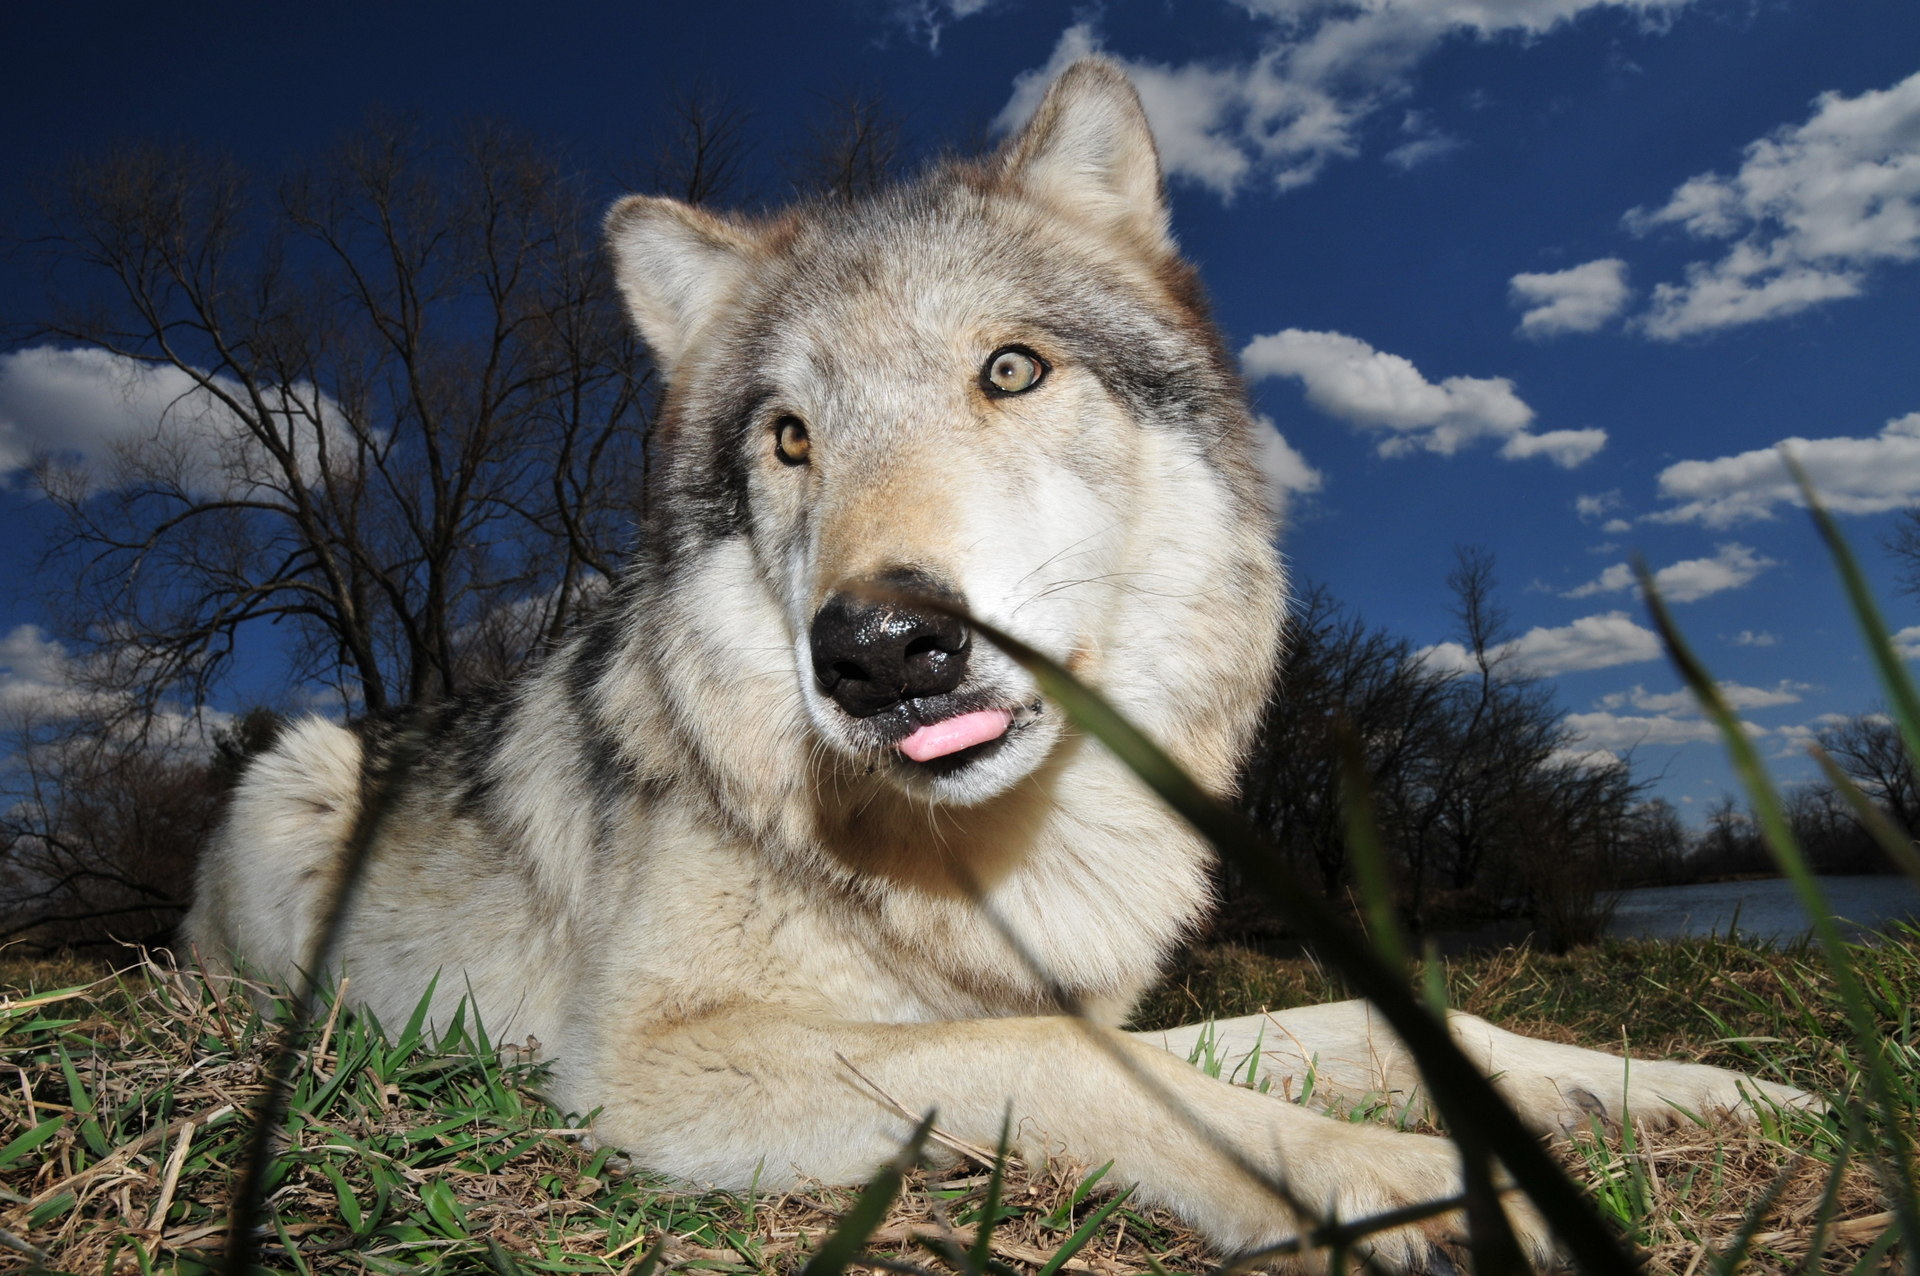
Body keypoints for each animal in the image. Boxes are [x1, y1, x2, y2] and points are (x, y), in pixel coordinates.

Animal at [187, 59, 1809, 1269]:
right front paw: (1399, 1183)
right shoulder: (653, 1061)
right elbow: (1069, 1062)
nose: (880, 647)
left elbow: (1375, 1017)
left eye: (1011, 370)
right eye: (790, 439)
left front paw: (1697, 1091)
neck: (996, 855)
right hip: (294, 777)